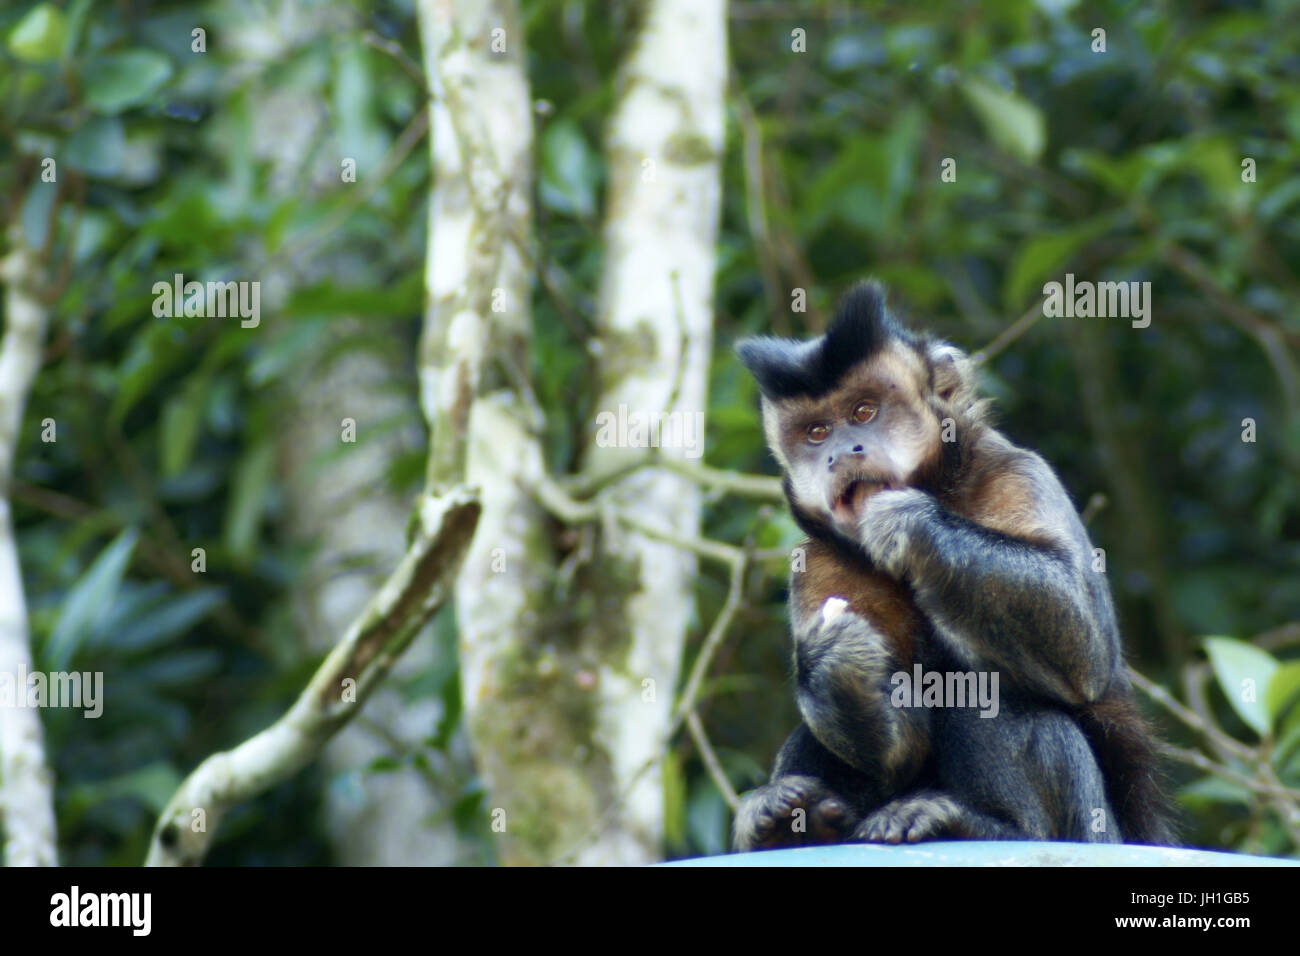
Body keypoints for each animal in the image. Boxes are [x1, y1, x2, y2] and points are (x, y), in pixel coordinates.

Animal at [731, 280, 1178, 850]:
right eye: (815, 433)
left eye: (863, 412)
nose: (840, 453)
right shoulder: (818, 557)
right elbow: (901, 748)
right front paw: (832, 657)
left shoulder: (1017, 472)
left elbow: (1086, 649)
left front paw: (910, 524)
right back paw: (793, 821)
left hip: (1091, 829)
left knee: (985, 683)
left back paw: (988, 826)